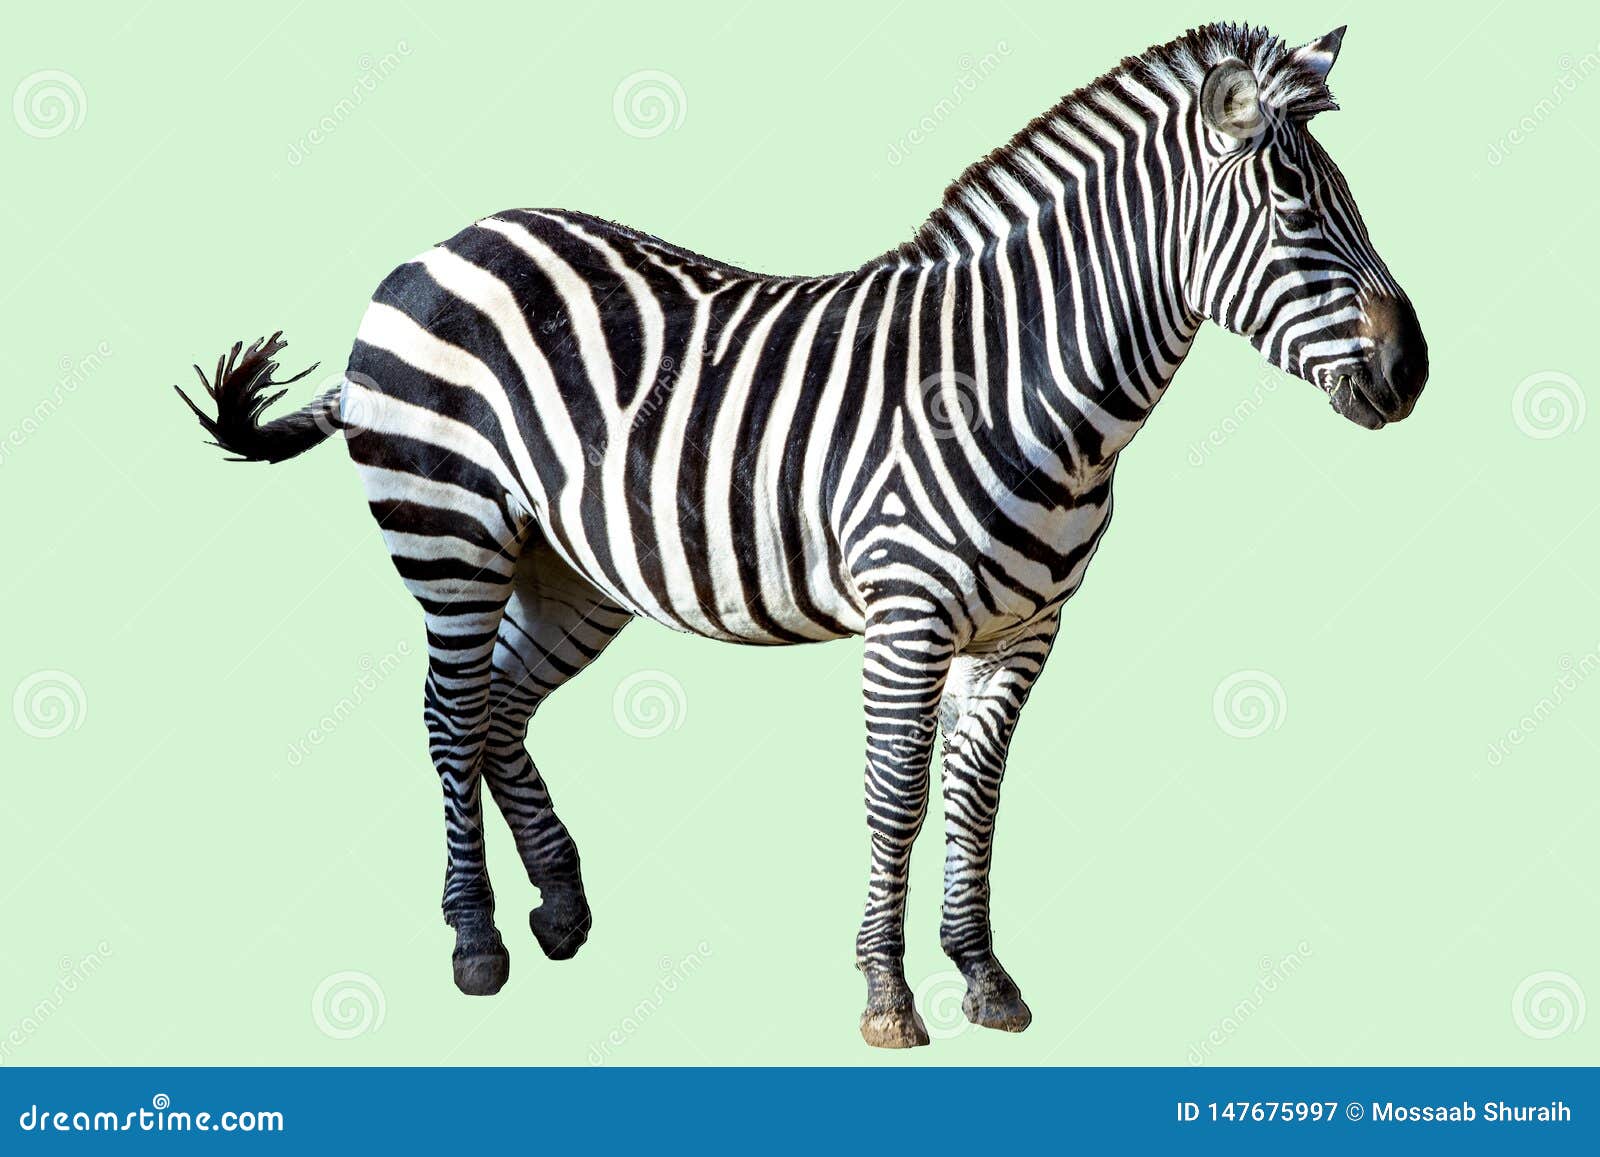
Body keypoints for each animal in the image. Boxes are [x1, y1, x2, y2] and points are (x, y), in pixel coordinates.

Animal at [177, 23, 1427, 1048]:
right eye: (1296, 209)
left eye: (1347, 200)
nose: (1411, 372)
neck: (1026, 383)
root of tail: (441, 242)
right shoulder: (907, 617)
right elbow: (897, 795)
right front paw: (886, 996)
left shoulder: (1024, 632)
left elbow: (976, 799)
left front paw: (983, 976)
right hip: (450, 534)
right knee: (448, 714)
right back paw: (477, 939)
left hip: (571, 569)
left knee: (499, 704)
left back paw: (561, 904)